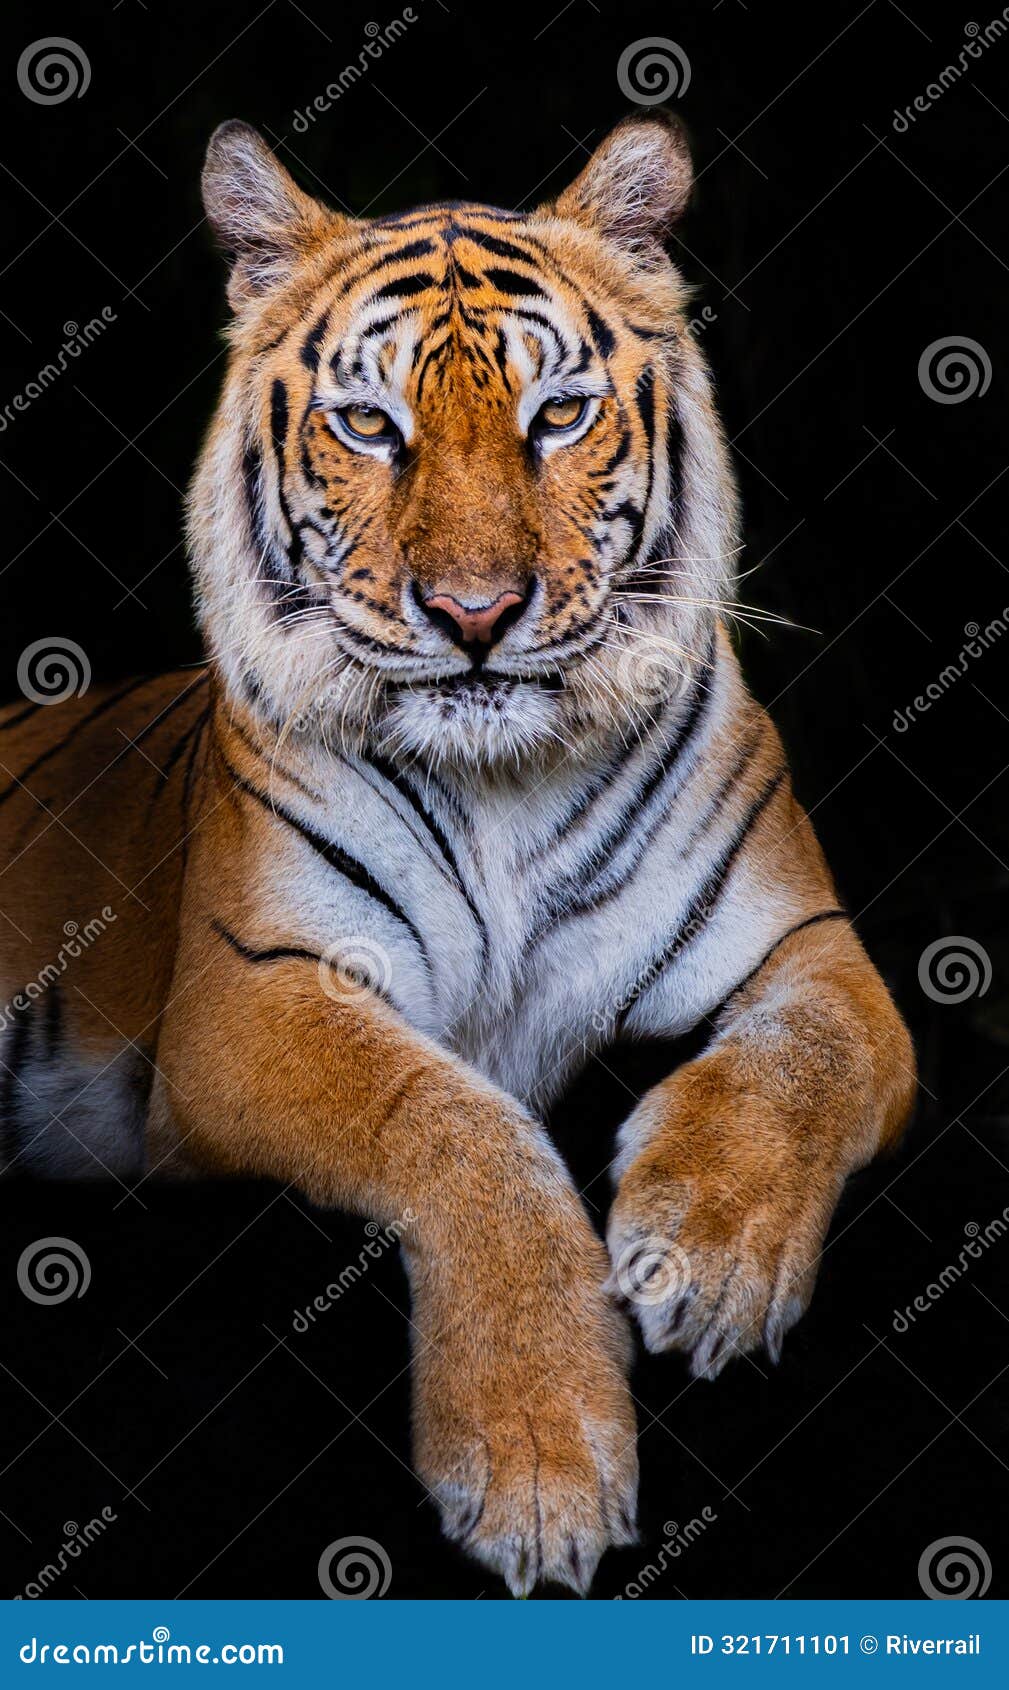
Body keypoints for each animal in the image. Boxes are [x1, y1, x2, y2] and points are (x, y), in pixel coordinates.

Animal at [0, 113, 915, 1597]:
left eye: (558, 416)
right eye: (371, 424)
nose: (475, 612)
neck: (503, 790)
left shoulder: (810, 945)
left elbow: (804, 1061)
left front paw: (710, 1257)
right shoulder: (256, 991)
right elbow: (458, 1123)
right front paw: (540, 1458)